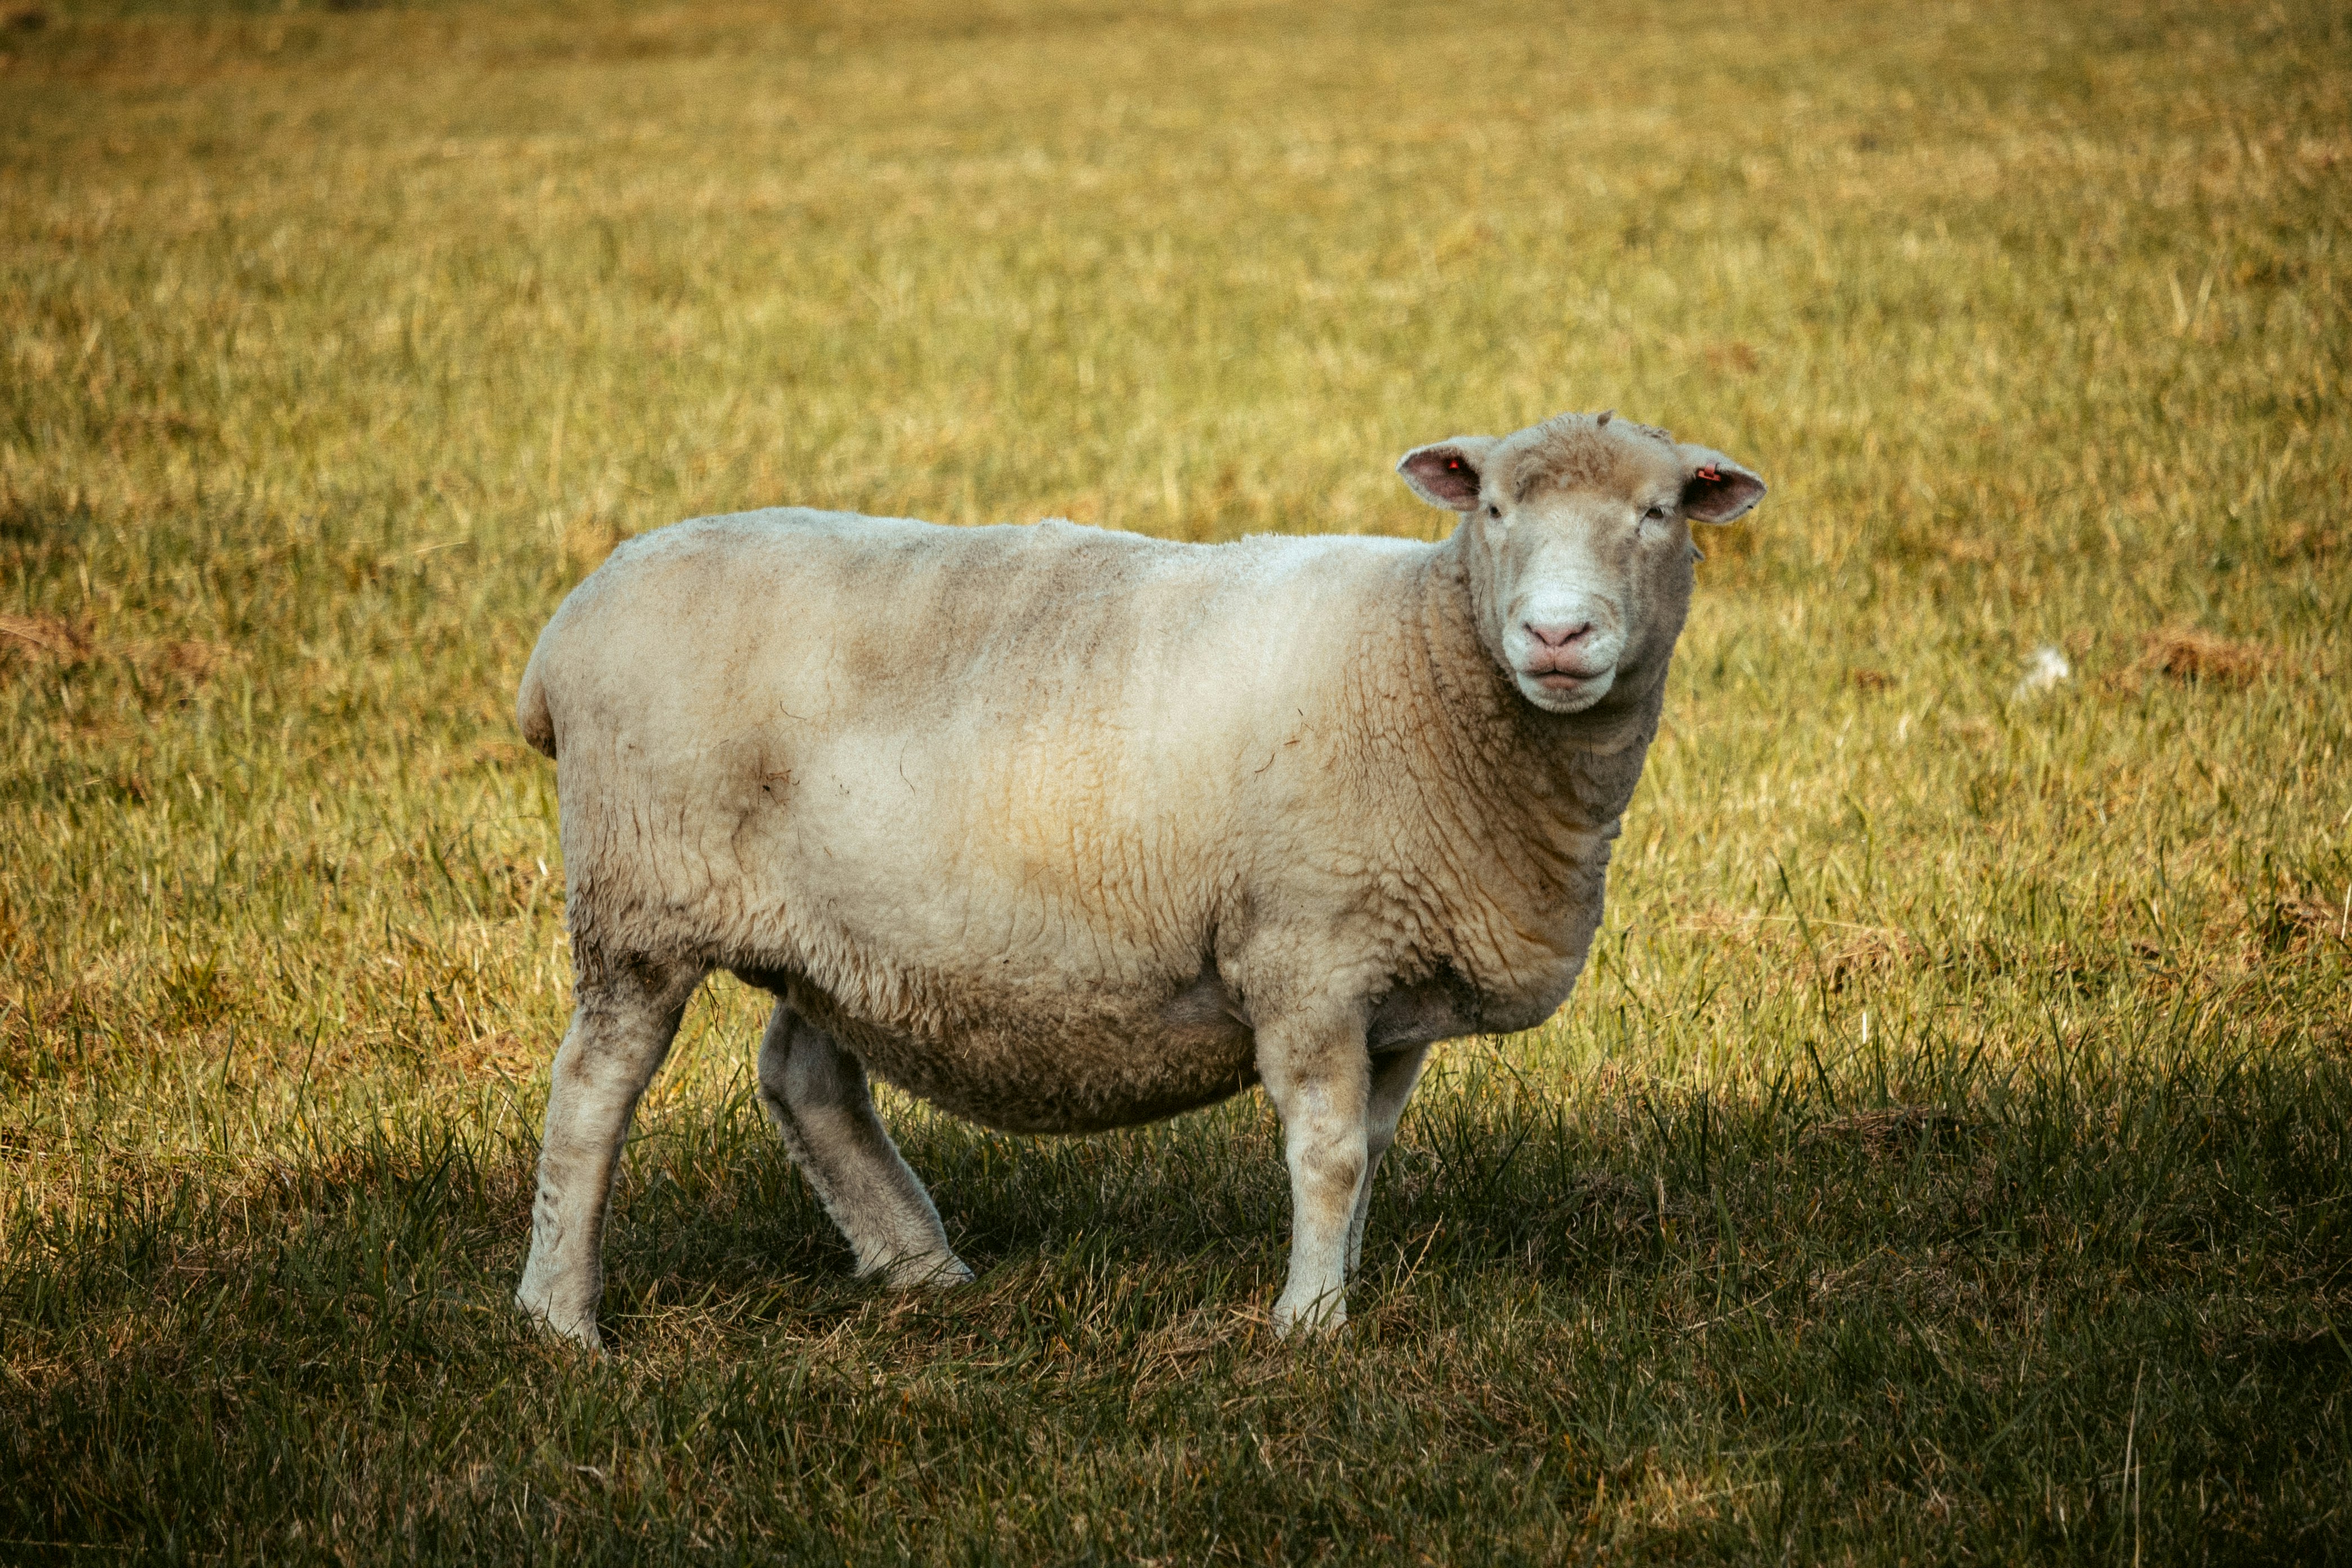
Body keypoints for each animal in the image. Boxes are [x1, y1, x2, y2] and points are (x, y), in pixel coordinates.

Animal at [512, 411, 1764, 1349]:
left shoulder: (1395, 985)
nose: (1558, 637)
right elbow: (1326, 1150)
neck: (1425, 657)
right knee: (590, 1098)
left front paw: (1341, 1284)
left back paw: (921, 1266)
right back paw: (562, 1319)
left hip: (849, 926)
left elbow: (1370, 1151)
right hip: (640, 897)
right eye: (1494, 510)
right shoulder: (1307, 951)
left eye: (1657, 513)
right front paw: (1309, 1322)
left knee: (805, 1078)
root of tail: (570, 619)